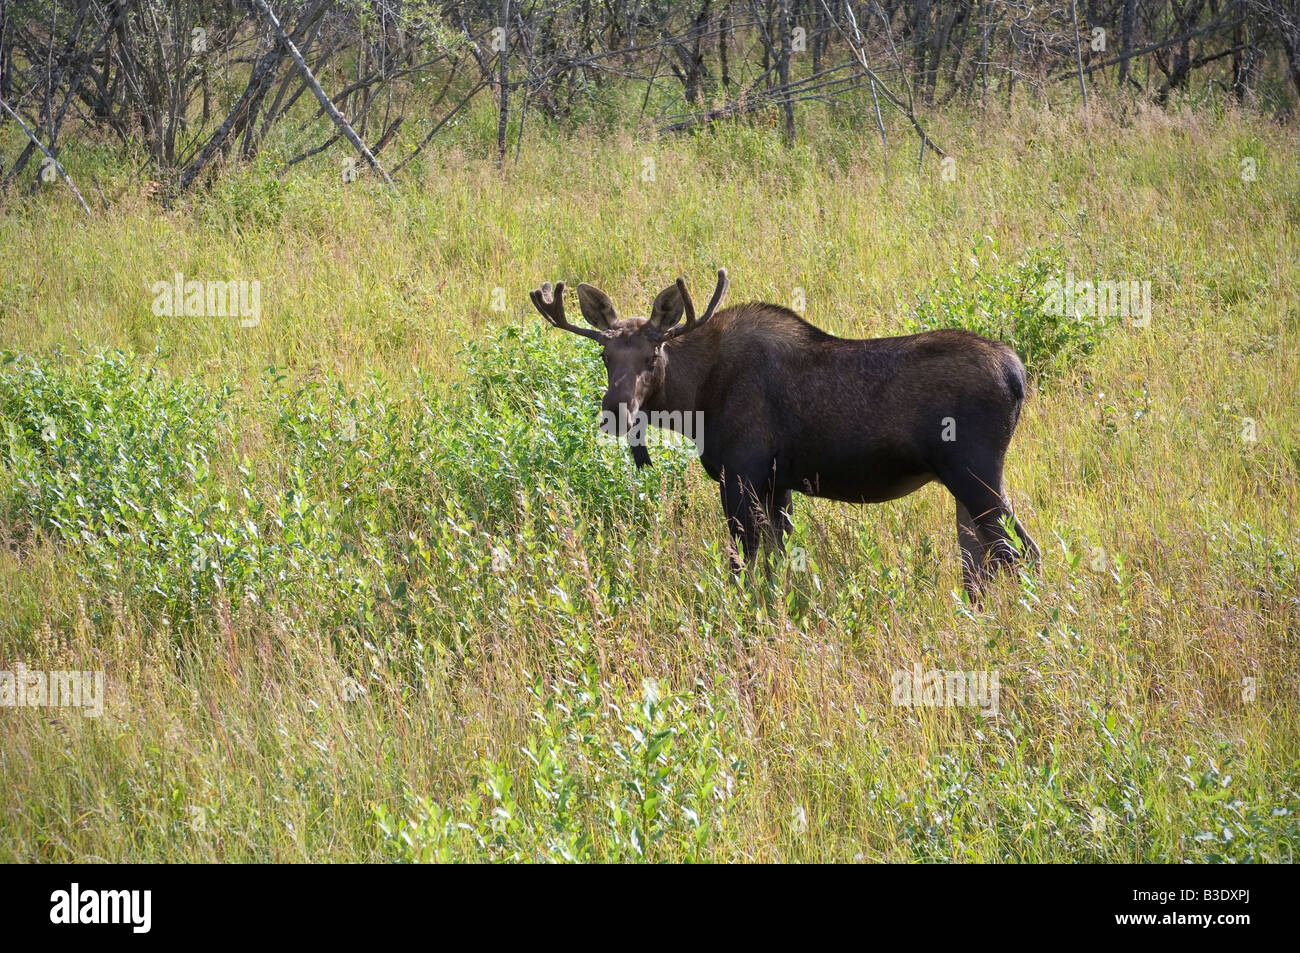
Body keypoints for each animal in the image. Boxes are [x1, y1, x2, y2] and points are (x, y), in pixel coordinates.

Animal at [529, 268, 1039, 601]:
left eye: (652, 357)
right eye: (605, 356)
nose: (615, 409)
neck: (696, 399)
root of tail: (1017, 375)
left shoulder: (741, 473)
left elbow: (741, 562)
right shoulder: (778, 483)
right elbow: (777, 563)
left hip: (974, 471)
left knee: (1020, 553)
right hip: (963, 483)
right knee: (980, 563)